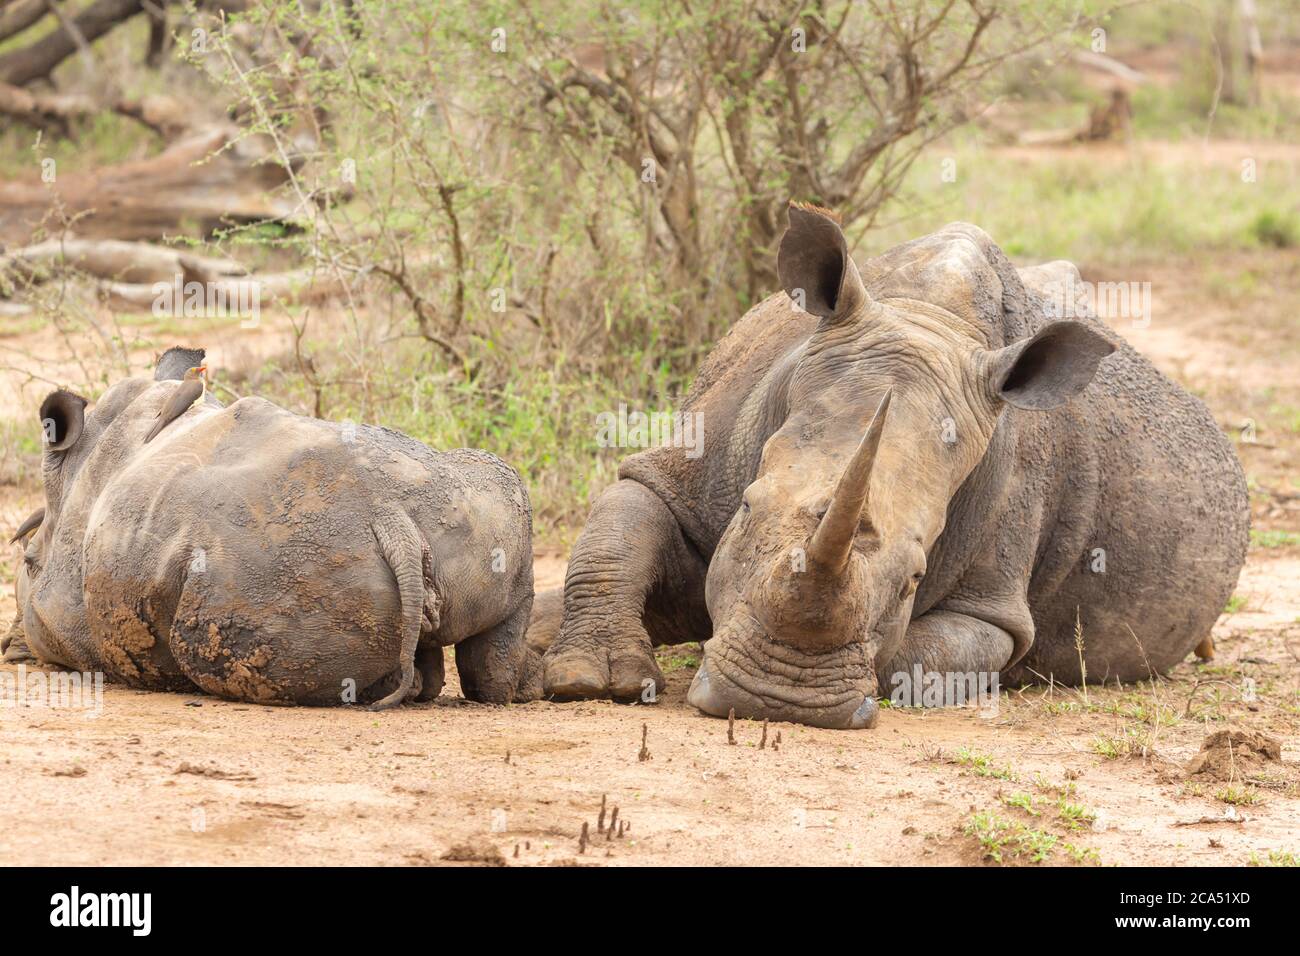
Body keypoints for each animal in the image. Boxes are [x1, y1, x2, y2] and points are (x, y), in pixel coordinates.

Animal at [10, 347, 541, 707]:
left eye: (29, 562)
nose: (8, 650)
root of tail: (394, 521)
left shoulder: (63, 615)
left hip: (275, 558)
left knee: (211, 651)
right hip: (482, 499)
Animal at [536, 204, 1249, 729]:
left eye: (915, 576)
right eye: (745, 508)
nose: (776, 700)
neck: (925, 317)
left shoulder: (992, 604)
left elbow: (920, 654)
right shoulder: (687, 464)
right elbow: (621, 529)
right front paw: (594, 680)